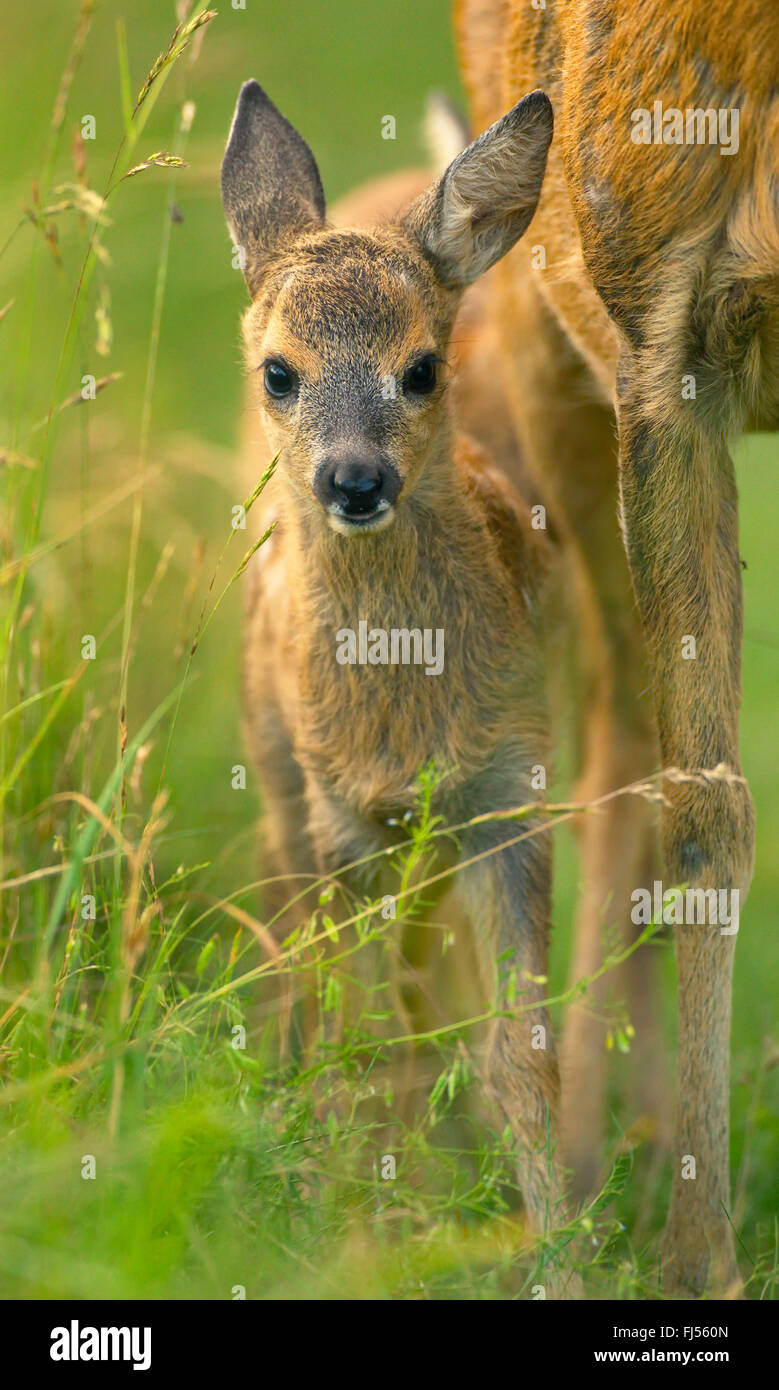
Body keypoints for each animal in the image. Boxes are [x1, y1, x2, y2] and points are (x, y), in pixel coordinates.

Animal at [220, 79, 585, 1286]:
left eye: (422, 367)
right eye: (278, 371)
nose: (353, 479)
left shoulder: (509, 794)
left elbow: (522, 1053)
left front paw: (560, 1256)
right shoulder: (339, 819)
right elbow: (352, 1034)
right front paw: (347, 1223)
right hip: (280, 783)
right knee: (300, 951)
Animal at [455, 0, 779, 1295]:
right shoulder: (656, 337)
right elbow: (706, 810)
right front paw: (703, 1260)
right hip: (541, 326)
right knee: (607, 734)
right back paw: (589, 1171)